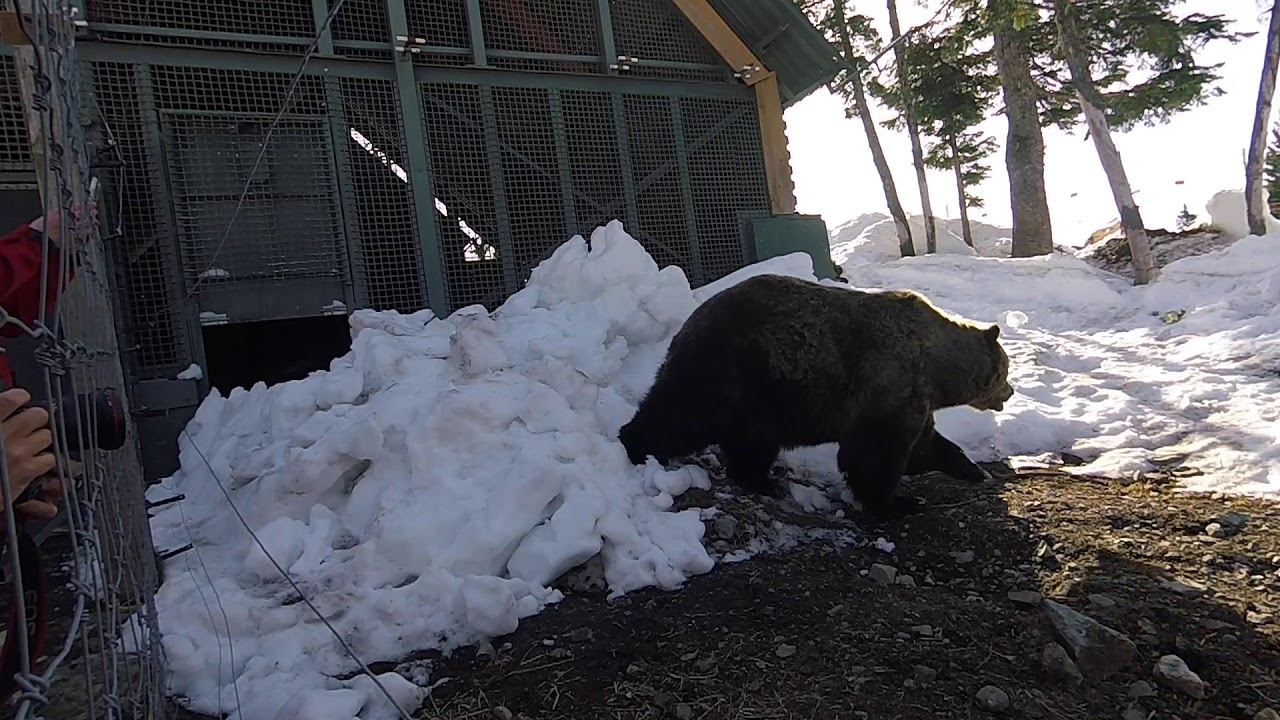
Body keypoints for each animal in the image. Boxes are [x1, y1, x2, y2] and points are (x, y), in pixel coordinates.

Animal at [617, 273, 1013, 518]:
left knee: (750, 443)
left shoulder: (915, 399)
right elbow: (875, 454)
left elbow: (925, 444)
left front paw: (973, 469)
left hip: (761, 400)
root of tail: (689, 321)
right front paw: (900, 501)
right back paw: (636, 446)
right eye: (1006, 371)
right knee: (681, 414)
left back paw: (762, 482)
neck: (937, 368)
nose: (1010, 391)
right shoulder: (889, 384)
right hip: (735, 371)